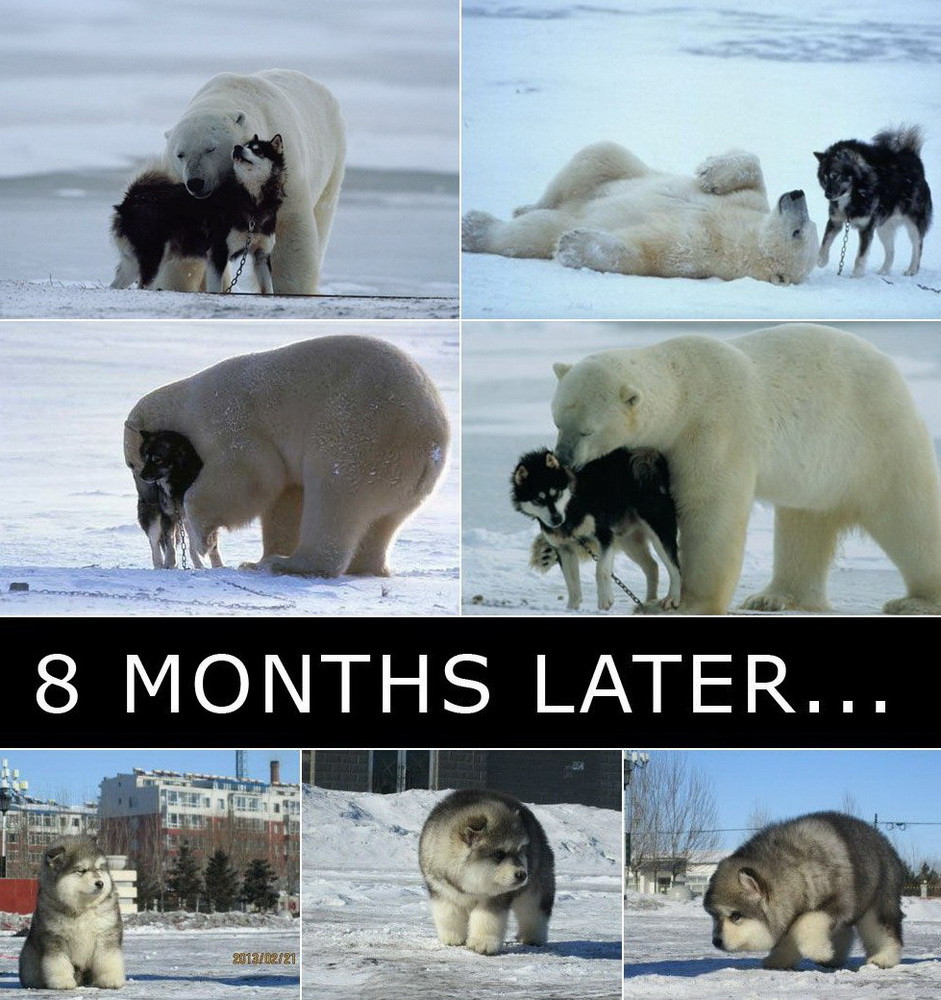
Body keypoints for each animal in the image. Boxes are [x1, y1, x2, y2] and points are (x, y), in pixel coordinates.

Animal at [123, 336, 450, 577]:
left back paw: (286, 563)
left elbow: (252, 473)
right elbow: (285, 497)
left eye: (136, 462)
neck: (186, 403)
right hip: (402, 474)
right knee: (382, 519)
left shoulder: (226, 420)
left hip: (363, 432)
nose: (145, 496)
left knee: (335, 494)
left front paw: (204, 540)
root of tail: (431, 439)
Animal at [160, 69, 346, 294]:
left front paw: (291, 290)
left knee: (322, 215)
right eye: (180, 154)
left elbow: (289, 231)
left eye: (211, 148)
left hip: (333, 157)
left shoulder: (283, 174)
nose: (195, 182)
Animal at [462, 141, 818, 285]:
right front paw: (710, 172)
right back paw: (524, 206)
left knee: (532, 232)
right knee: (598, 155)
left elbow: (647, 250)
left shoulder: (702, 248)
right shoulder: (749, 204)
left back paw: (474, 228)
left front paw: (573, 244)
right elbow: (753, 171)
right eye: (808, 224)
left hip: (564, 216)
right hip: (610, 172)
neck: (741, 234)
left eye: (799, 232)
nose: (798, 195)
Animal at [551, 323, 941, 615]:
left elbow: (710, 509)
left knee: (910, 515)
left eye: (587, 430)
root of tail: (895, 375)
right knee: (803, 525)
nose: (564, 458)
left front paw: (687, 603)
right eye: (558, 422)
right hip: (819, 471)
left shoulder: (713, 425)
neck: (685, 384)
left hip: (874, 439)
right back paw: (774, 597)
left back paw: (915, 601)